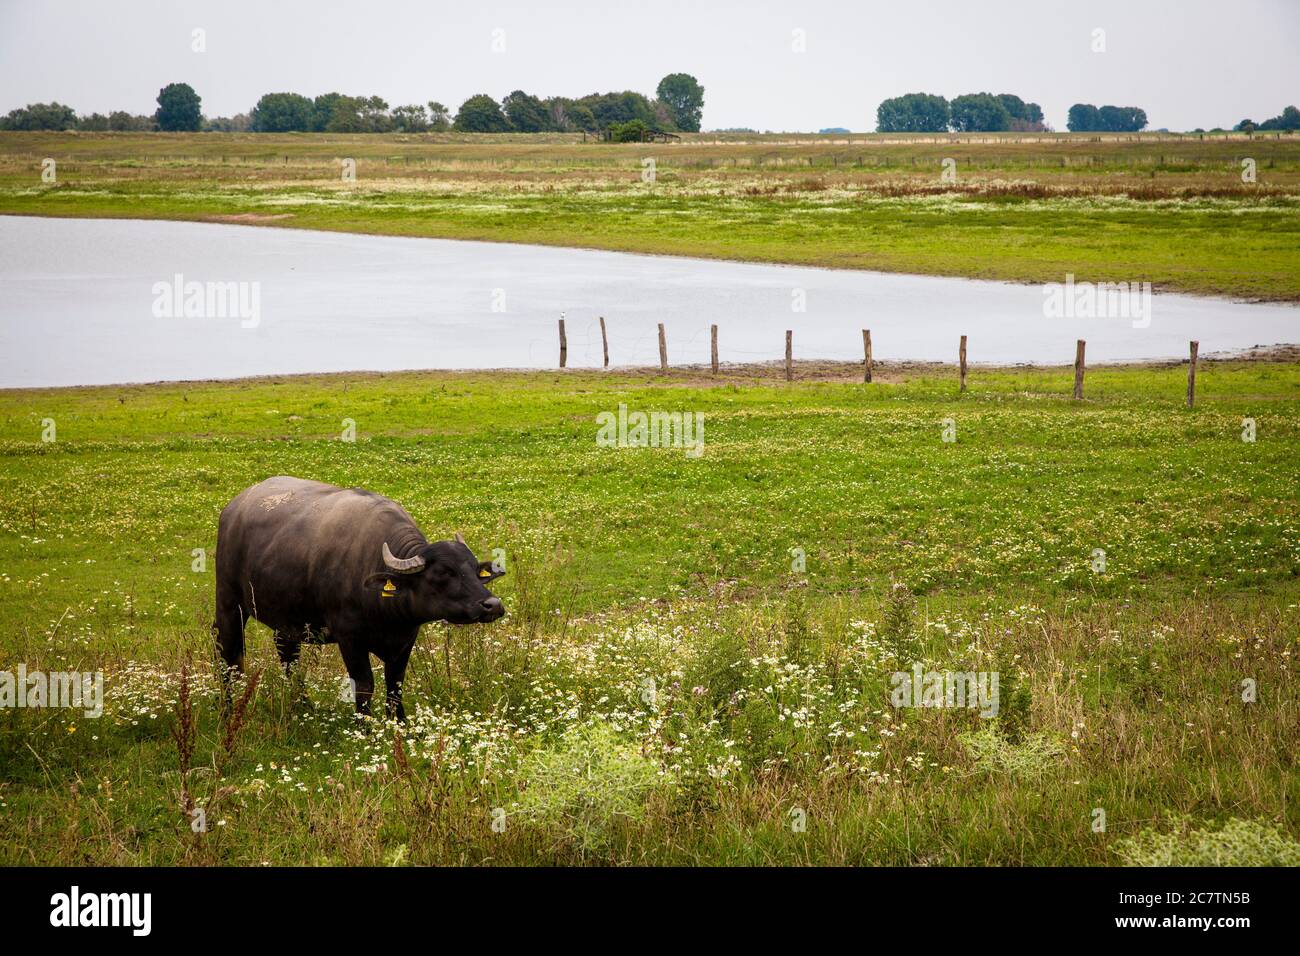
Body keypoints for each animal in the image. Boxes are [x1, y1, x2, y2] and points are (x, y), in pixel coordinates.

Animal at [214, 476, 505, 719]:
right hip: (229, 602)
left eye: (474, 569)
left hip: (287, 620)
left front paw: (399, 723)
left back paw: (304, 707)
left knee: (288, 658)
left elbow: (395, 683)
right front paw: (364, 727)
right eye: (443, 573)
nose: (493, 605)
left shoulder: (406, 638)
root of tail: (233, 507)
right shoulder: (349, 637)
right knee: (228, 655)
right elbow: (364, 684)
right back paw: (227, 710)